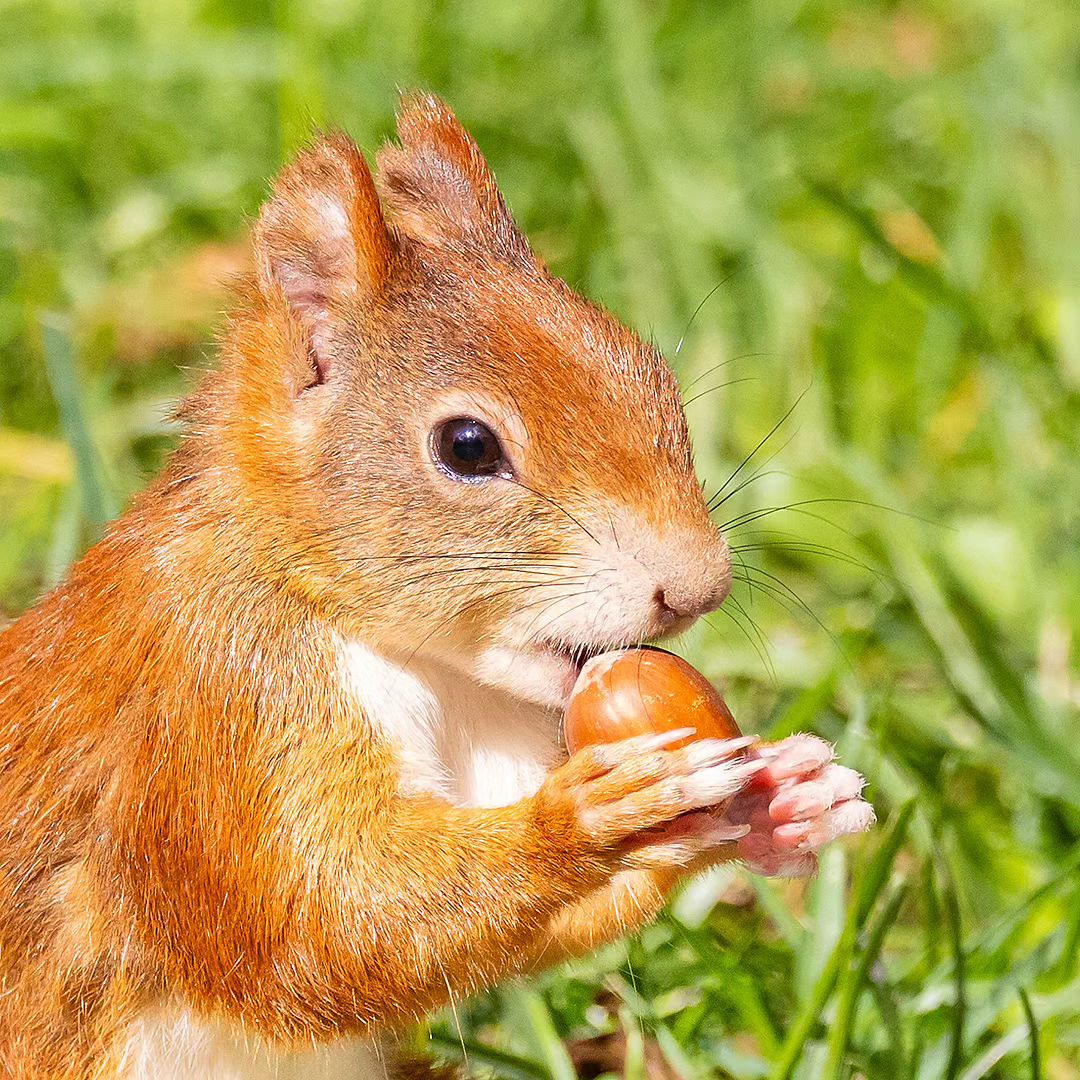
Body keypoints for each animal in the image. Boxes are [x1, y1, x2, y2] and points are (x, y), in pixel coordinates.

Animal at [0, 94, 873, 1079]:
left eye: (653, 376)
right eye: (467, 446)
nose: (699, 588)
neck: (423, 668)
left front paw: (780, 801)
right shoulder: (216, 719)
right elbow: (321, 926)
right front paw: (584, 819)